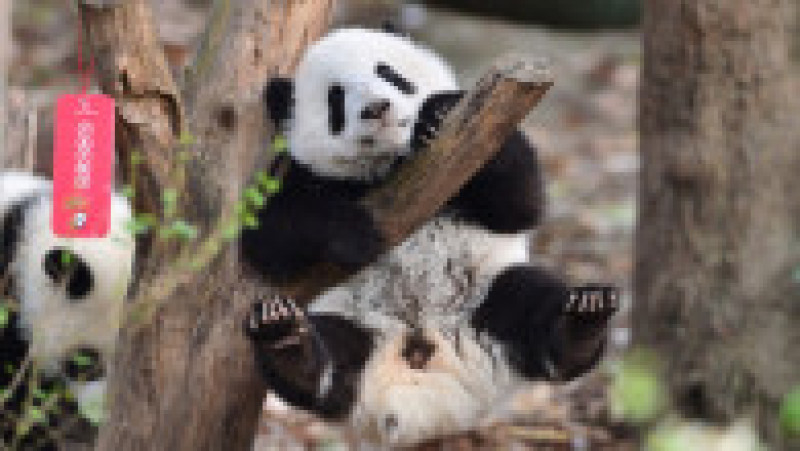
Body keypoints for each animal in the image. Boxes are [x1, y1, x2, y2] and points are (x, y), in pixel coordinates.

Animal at [240, 28, 617, 446]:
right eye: (335, 98)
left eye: (388, 72)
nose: (377, 107)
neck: (389, 165)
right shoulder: (298, 174)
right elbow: (265, 235)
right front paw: (356, 233)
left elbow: (520, 200)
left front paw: (436, 114)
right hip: (354, 326)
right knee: (327, 363)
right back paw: (285, 340)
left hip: (484, 297)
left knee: (530, 301)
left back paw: (582, 321)